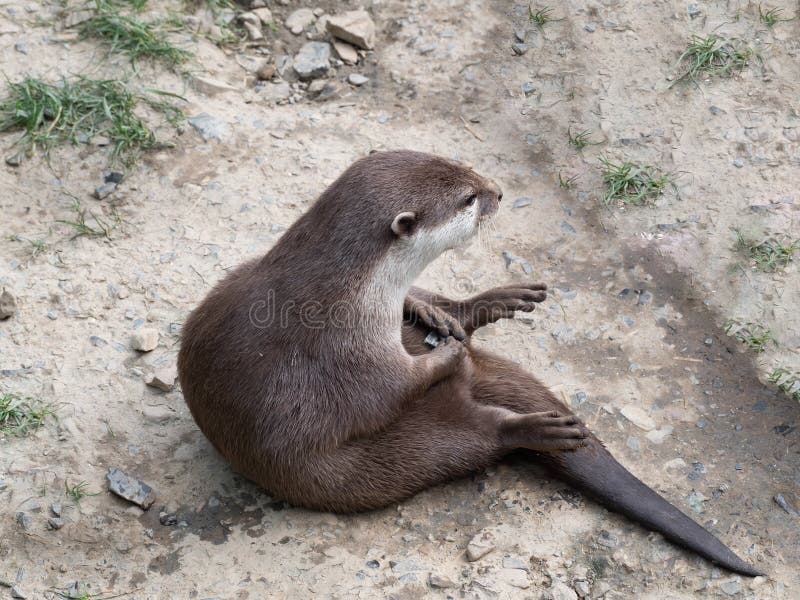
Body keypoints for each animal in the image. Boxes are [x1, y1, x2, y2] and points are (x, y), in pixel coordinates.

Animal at [178, 151, 762, 577]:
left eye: (464, 168)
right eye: (467, 199)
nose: (498, 191)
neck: (351, 294)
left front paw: (436, 314)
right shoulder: (344, 351)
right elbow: (385, 393)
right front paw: (448, 353)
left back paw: (480, 307)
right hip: (385, 460)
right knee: (472, 441)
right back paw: (532, 423)